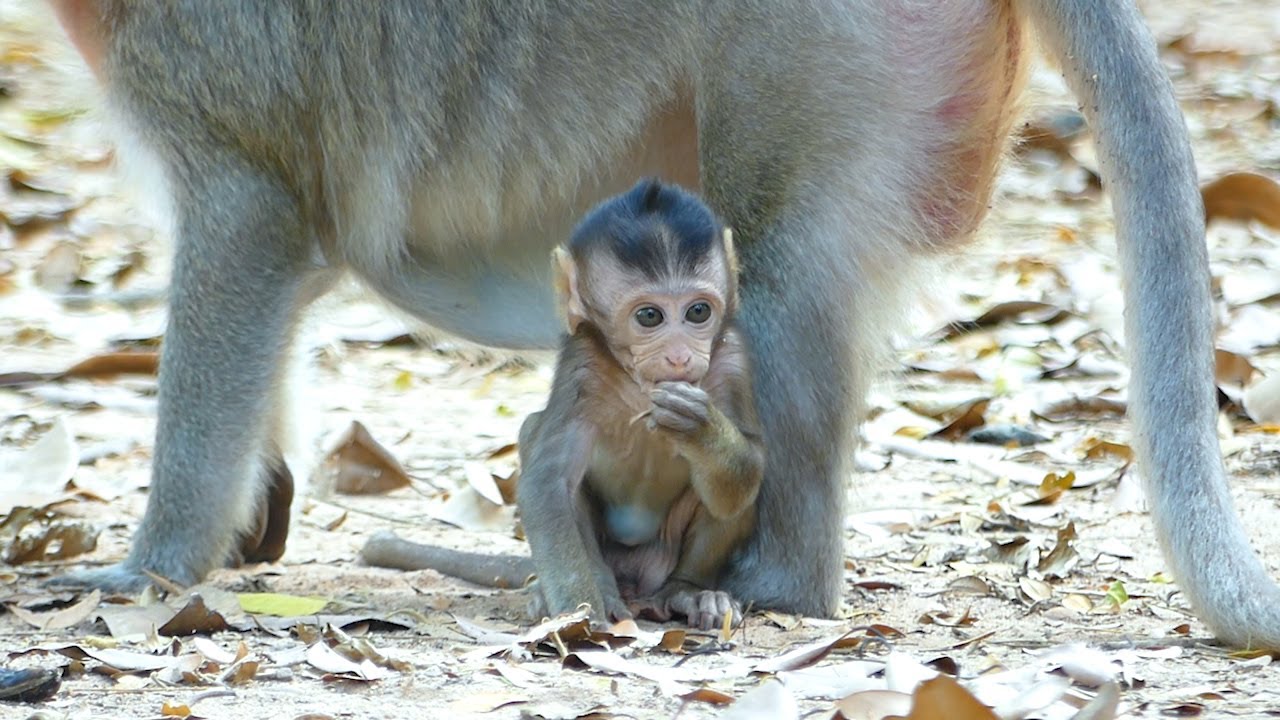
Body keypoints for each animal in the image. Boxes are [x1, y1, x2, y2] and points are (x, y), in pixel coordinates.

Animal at [362, 179, 763, 630]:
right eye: (649, 316)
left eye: (698, 312)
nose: (679, 357)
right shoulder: (581, 362)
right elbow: (548, 484)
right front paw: (581, 619)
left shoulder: (732, 359)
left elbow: (747, 472)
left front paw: (700, 427)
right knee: (538, 443)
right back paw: (592, 592)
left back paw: (689, 592)